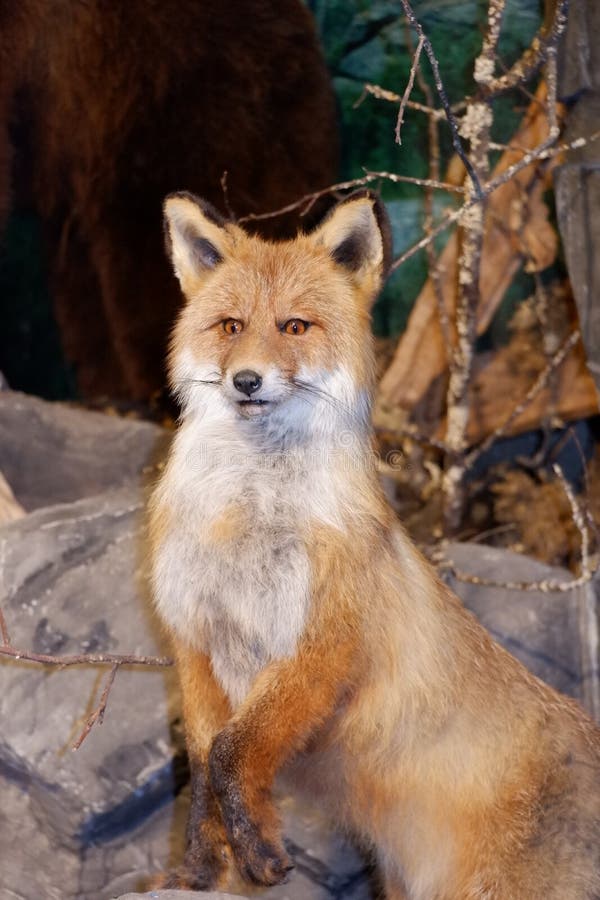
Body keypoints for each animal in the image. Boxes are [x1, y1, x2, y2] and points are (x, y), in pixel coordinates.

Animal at [149, 190, 600, 899]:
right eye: (230, 326)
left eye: (294, 327)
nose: (246, 380)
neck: (246, 525)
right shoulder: (197, 639)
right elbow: (202, 768)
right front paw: (202, 864)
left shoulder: (325, 646)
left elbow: (229, 753)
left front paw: (259, 851)